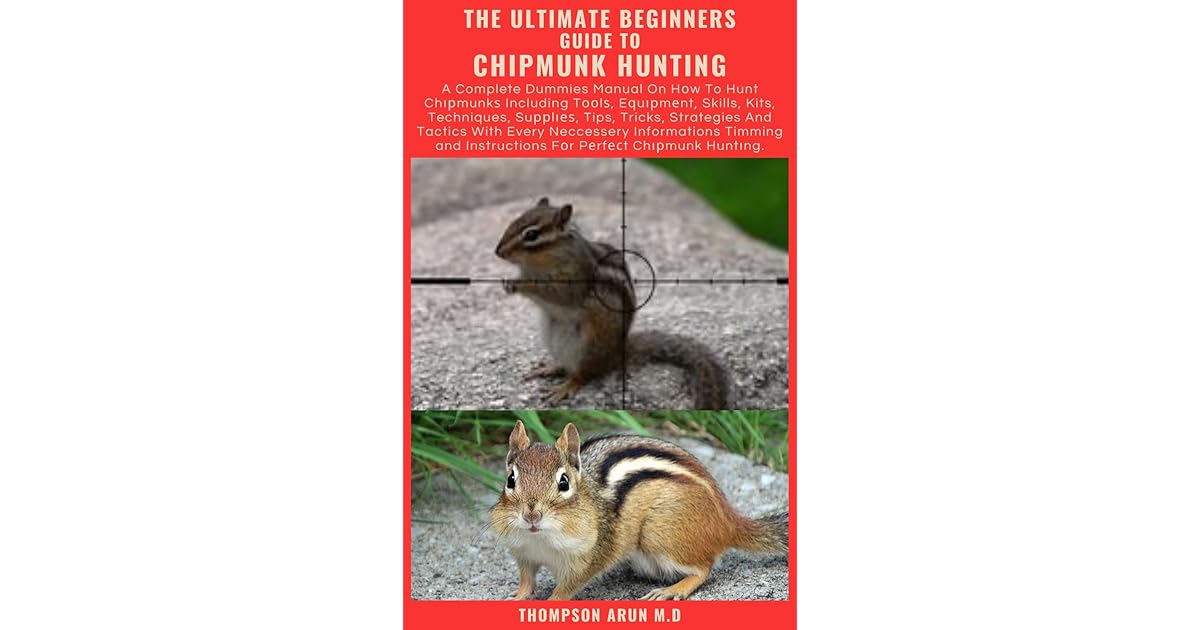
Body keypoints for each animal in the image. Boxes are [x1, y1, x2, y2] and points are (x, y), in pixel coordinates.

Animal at [489, 420, 788, 601]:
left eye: (564, 482)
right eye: (510, 480)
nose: (531, 515)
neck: (540, 539)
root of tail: (727, 519)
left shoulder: (588, 557)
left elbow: (567, 588)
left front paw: (551, 600)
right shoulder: (523, 553)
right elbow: (527, 580)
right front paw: (516, 597)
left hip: (659, 535)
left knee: (703, 568)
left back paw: (671, 590)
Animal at [495, 197, 730, 409]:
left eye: (531, 235)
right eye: (512, 222)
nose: (498, 251)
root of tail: (618, 353)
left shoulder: (573, 280)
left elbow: (557, 293)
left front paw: (517, 284)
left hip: (588, 345)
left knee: (584, 374)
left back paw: (566, 387)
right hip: (552, 335)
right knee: (568, 366)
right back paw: (550, 368)